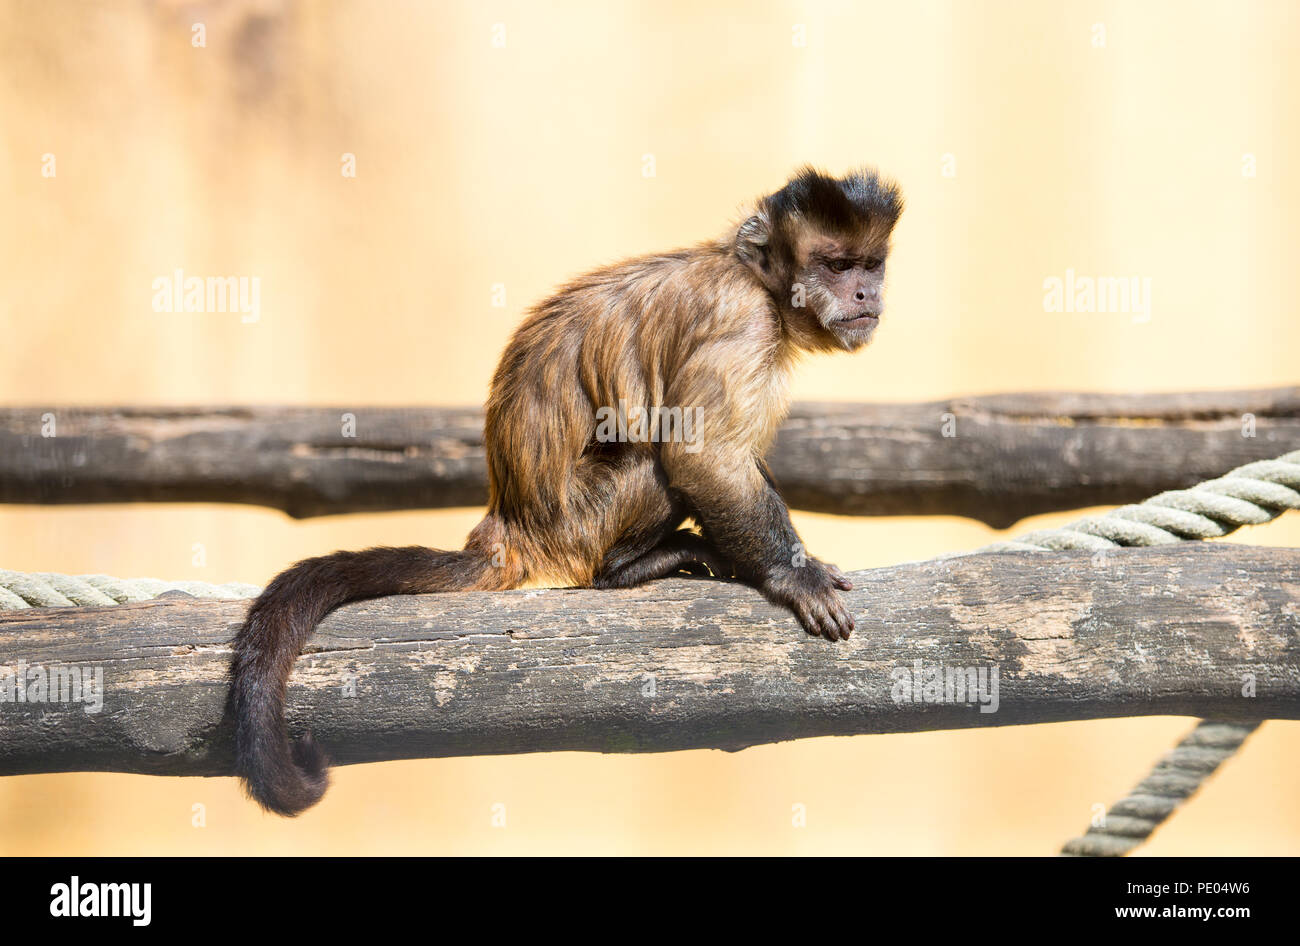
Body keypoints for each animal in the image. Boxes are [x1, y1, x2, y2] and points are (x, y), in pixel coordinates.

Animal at [231, 166, 903, 815]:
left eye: (870, 265)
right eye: (834, 266)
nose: (866, 294)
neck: (756, 282)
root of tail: (509, 525)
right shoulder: (740, 322)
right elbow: (701, 457)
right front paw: (792, 574)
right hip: (581, 522)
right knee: (652, 457)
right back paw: (629, 568)